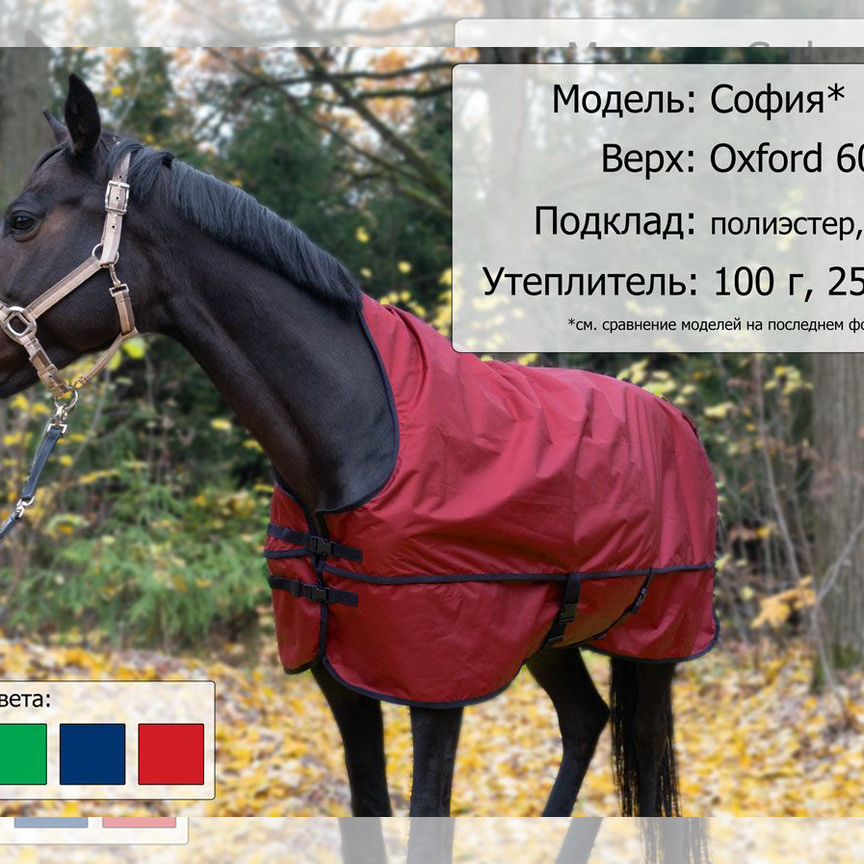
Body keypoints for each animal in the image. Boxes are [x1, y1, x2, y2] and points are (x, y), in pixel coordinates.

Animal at [0, 74, 718, 820]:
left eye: (21, 219)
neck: (358, 434)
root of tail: (677, 420)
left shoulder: (438, 687)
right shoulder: (339, 677)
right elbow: (369, 802)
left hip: (656, 639)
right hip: (549, 636)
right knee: (584, 720)